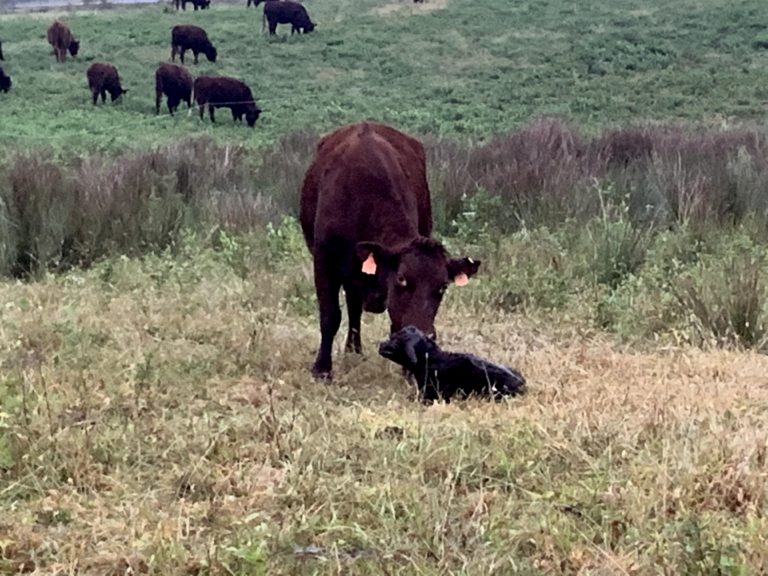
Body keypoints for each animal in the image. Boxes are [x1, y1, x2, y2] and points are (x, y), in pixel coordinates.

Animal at [299, 122, 481, 379]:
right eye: (402, 279)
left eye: (443, 286)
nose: (424, 334)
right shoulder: (324, 260)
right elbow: (330, 315)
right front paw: (322, 369)